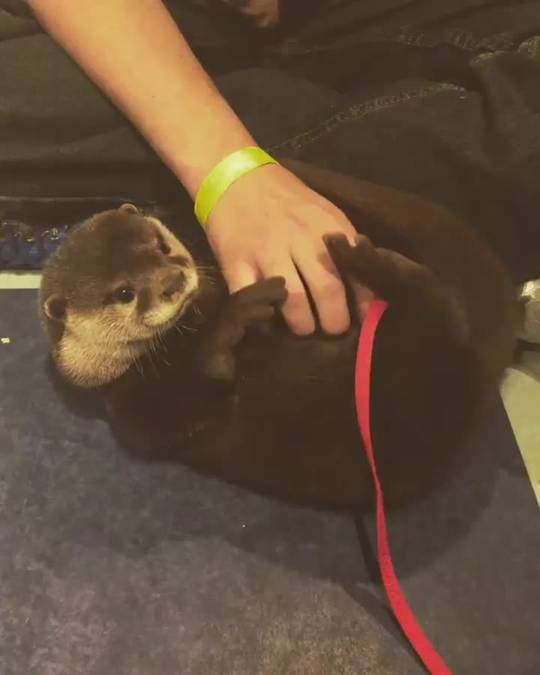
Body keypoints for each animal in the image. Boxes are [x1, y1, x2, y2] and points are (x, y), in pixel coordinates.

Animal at [39, 158, 518, 509]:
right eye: (123, 292)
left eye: (161, 246)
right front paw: (242, 311)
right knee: (430, 301)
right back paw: (359, 257)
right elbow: (197, 385)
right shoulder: (136, 410)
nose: (173, 281)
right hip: (420, 396)